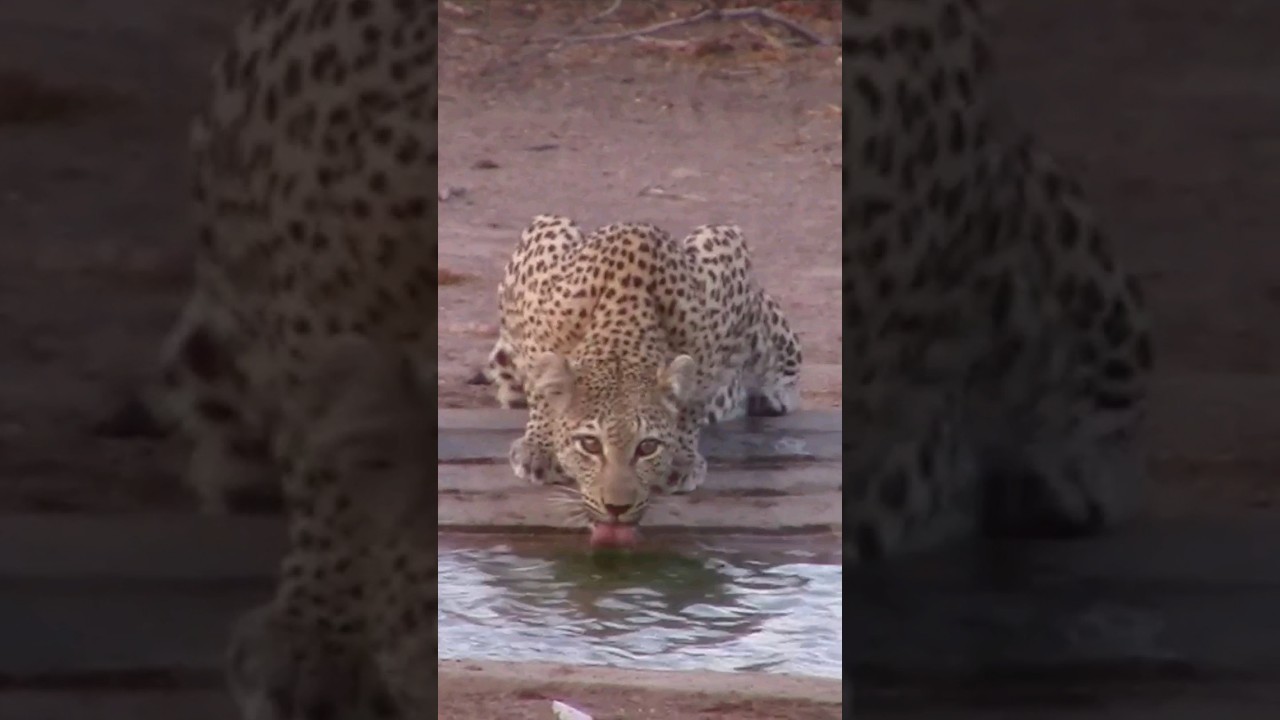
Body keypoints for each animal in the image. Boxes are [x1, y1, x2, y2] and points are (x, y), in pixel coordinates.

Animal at [477, 214, 803, 546]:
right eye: (590, 445)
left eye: (647, 447)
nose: (617, 508)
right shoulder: (540, 244)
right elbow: (540, 380)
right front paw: (539, 446)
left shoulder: (728, 260)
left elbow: (695, 395)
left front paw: (681, 457)